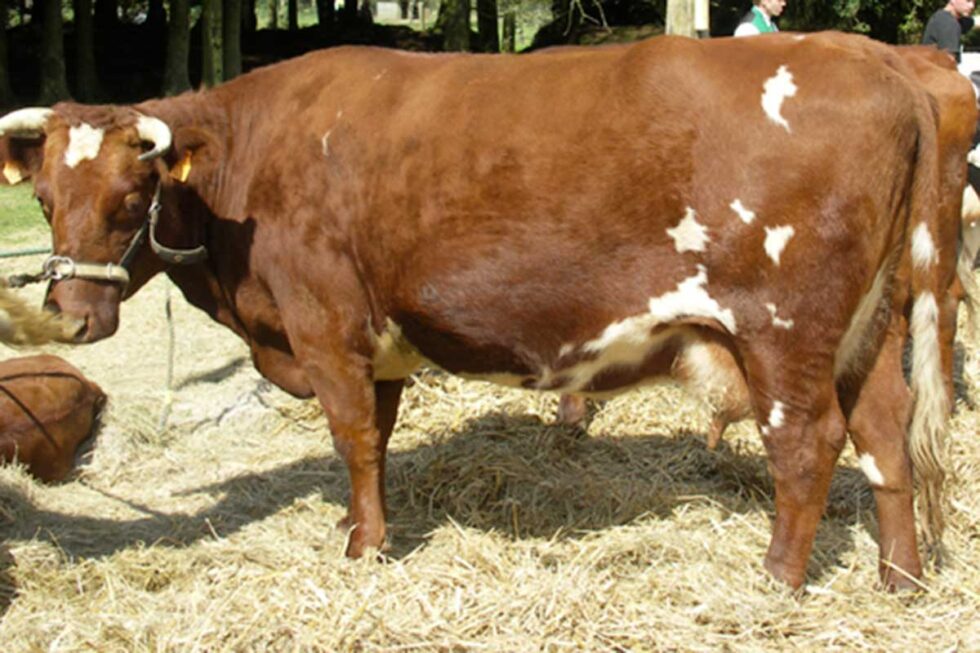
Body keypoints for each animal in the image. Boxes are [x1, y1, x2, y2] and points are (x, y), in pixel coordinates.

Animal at [0, 32, 952, 590]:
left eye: (132, 197)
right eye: (44, 198)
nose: (72, 317)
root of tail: (878, 61)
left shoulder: (326, 324)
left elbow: (351, 434)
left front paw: (363, 549)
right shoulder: (377, 340)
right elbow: (377, 439)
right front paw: (362, 524)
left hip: (785, 331)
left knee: (808, 442)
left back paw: (777, 578)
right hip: (871, 326)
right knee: (885, 429)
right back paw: (898, 577)